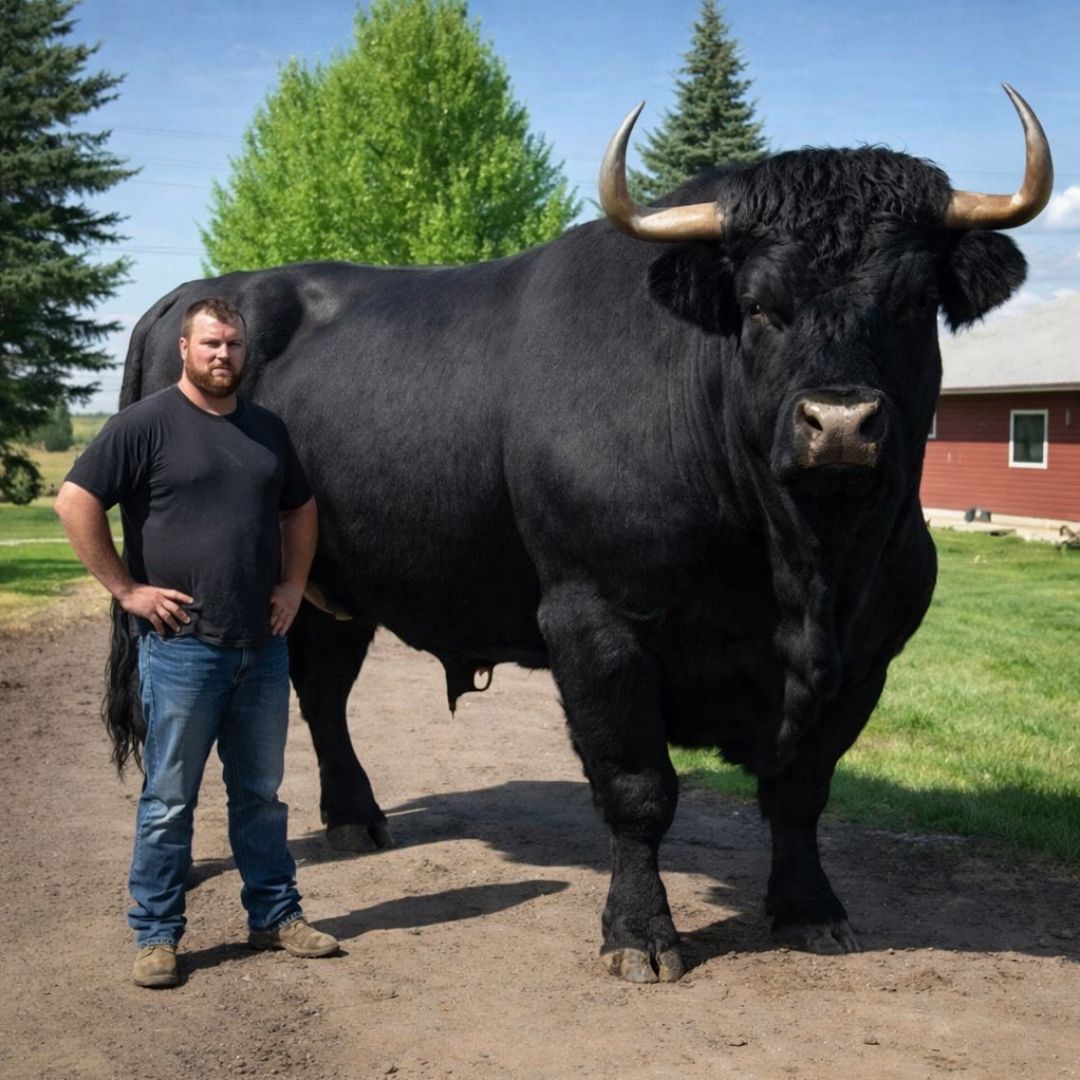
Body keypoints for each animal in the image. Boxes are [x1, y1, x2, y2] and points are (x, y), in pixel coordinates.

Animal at [106, 86, 1051, 983]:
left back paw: (356, 817)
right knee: (180, 718)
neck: (803, 574)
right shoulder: (595, 620)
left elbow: (801, 790)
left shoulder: (869, 651)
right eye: (758, 306)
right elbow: (637, 787)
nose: (841, 423)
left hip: (327, 585)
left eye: (915, 301)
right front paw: (640, 934)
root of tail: (196, 295)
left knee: (321, 688)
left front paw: (810, 909)